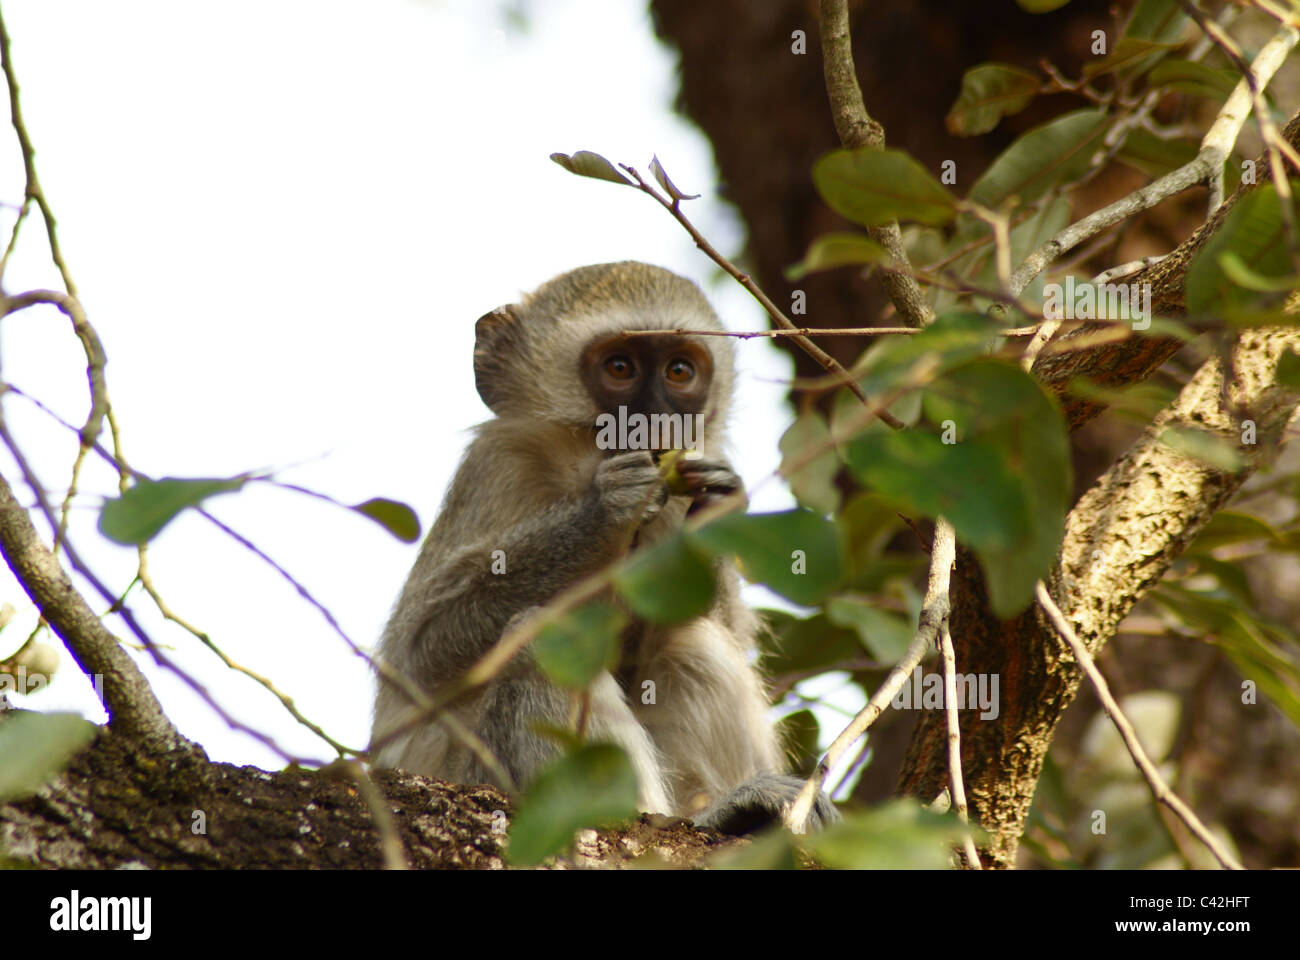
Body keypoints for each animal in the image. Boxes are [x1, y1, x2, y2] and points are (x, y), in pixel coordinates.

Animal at [370, 261, 837, 834]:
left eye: (679, 371)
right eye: (620, 367)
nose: (657, 420)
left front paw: (719, 507)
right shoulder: (496, 467)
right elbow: (422, 653)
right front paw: (605, 510)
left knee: (690, 642)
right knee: (541, 637)